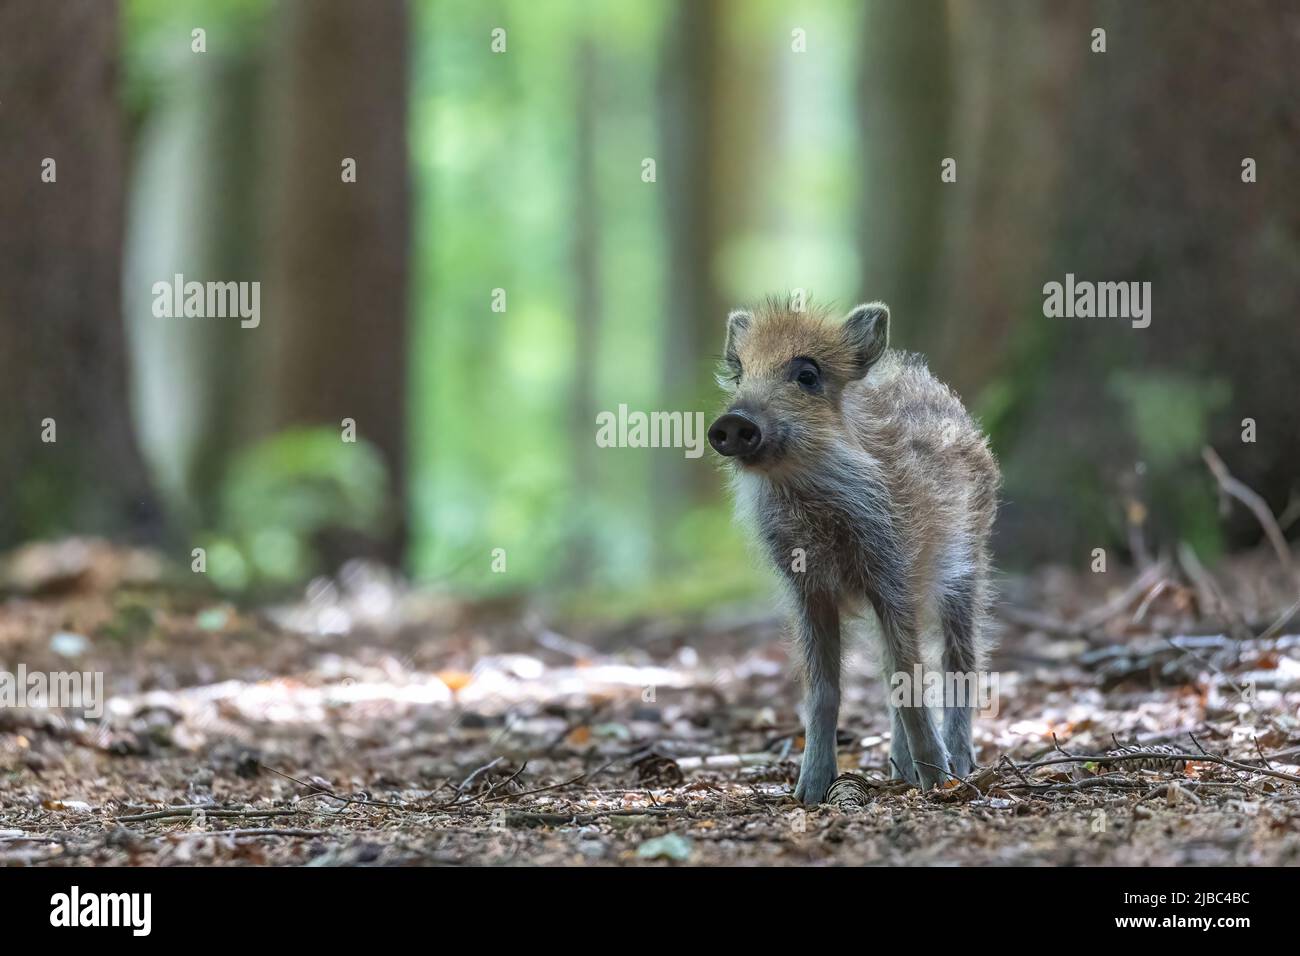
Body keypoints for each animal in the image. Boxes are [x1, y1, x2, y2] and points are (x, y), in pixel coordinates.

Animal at [708, 298, 999, 802]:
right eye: (739, 372)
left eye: (807, 374)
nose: (733, 421)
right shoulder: (807, 592)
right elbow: (824, 688)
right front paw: (807, 792)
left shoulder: (892, 575)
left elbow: (912, 674)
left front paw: (938, 781)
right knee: (887, 669)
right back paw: (901, 770)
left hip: (968, 566)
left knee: (959, 659)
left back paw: (957, 765)